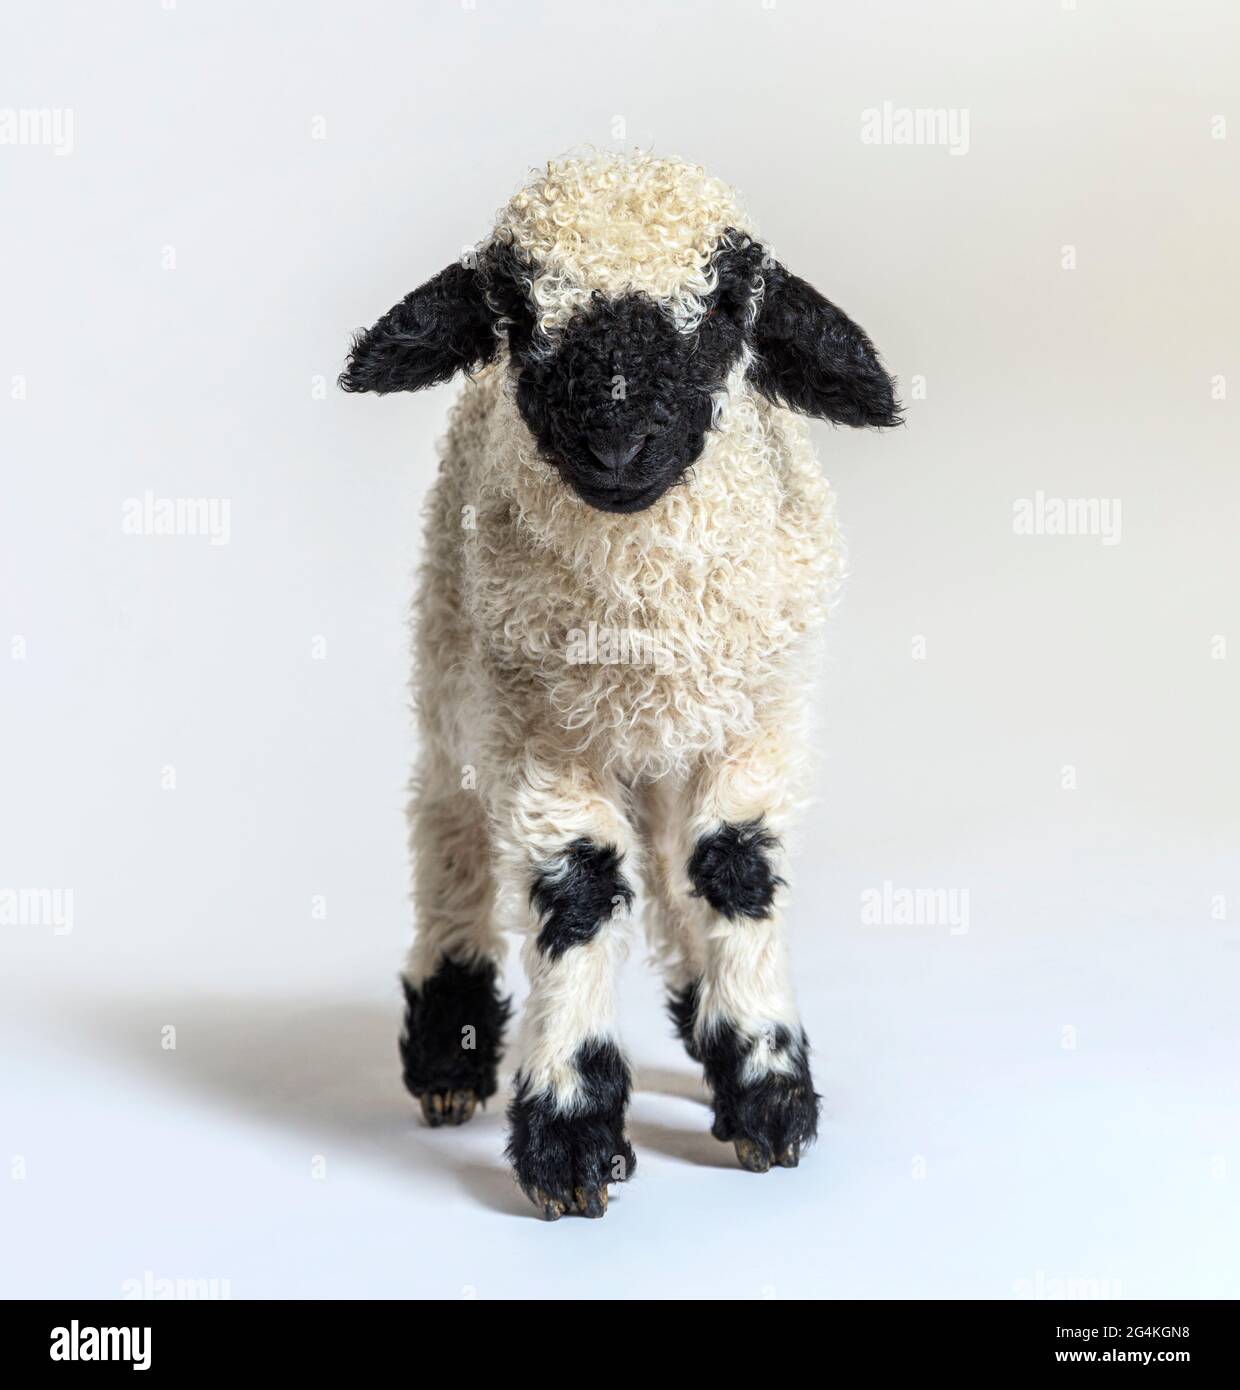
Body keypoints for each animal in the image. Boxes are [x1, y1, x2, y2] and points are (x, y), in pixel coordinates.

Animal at [340, 152, 899, 1218]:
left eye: (724, 310)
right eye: (518, 310)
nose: (615, 445)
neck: (643, 615)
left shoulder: (754, 723)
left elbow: (735, 870)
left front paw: (765, 1088)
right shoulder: (539, 741)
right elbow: (579, 895)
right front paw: (568, 1134)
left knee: (678, 854)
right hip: (453, 666)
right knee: (447, 827)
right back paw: (448, 1053)